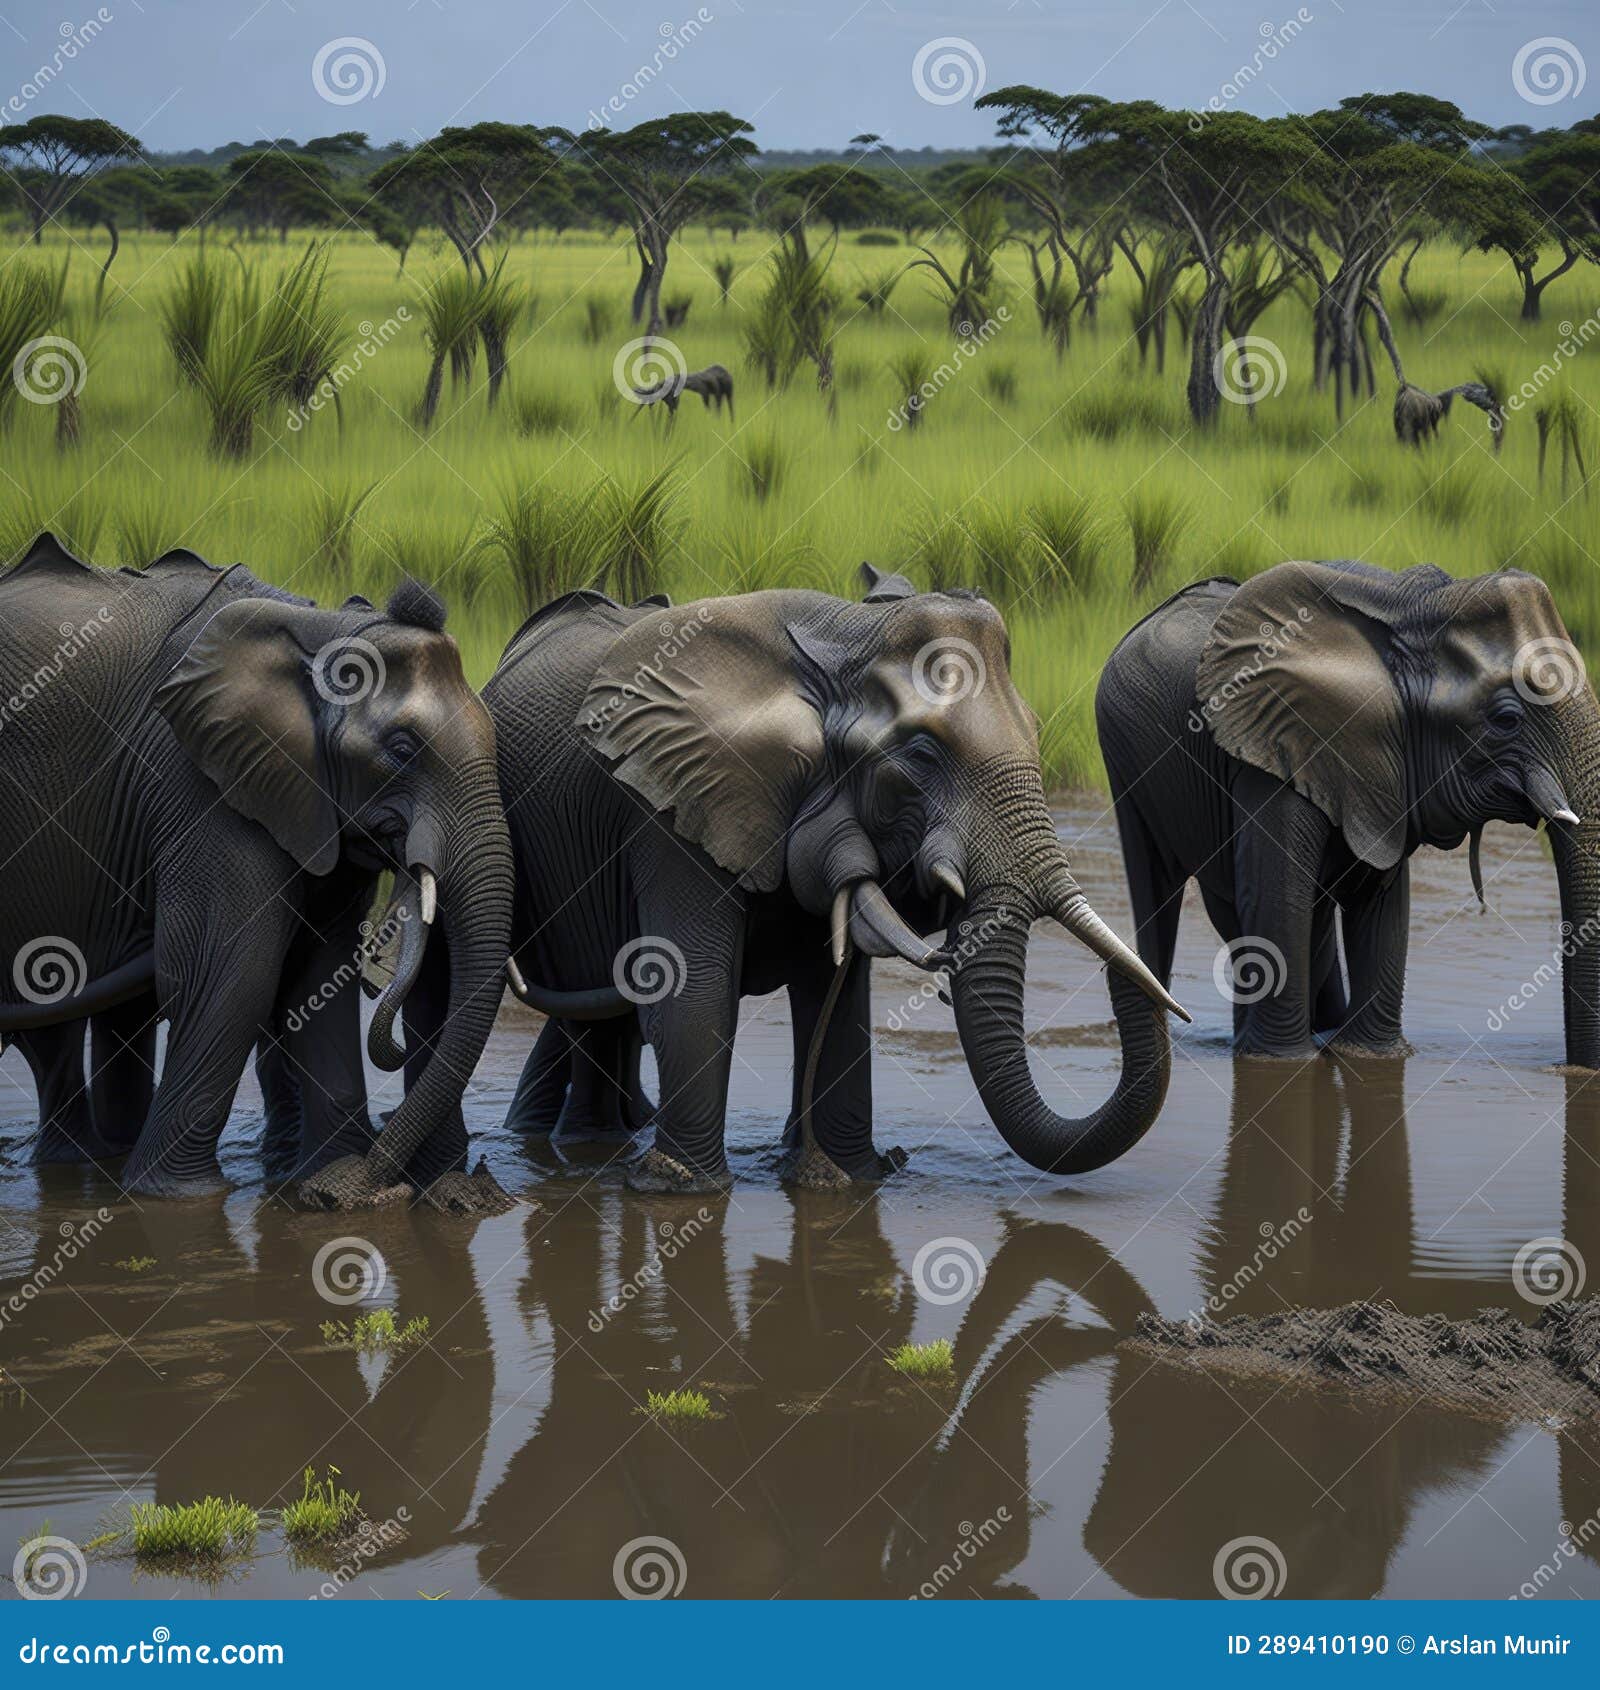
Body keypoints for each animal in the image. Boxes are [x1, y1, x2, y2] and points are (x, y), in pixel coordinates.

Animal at [0, 533, 512, 1207]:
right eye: (402, 751)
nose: (361, 1187)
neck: (322, 629)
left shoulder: (306, 798)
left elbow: (317, 973)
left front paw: (325, 1184)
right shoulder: (199, 781)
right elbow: (229, 971)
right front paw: (178, 1198)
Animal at [483, 564, 1185, 1193]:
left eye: (1038, 735)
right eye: (922, 755)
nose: (1125, 978)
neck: (842, 638)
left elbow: (836, 1000)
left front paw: (843, 1177)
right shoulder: (668, 803)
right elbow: (692, 986)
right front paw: (684, 1192)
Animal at [1096, 559, 1600, 1063]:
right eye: (1505, 720)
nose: (1568, 1067)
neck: (1408, 613)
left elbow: (1381, 904)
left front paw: (1367, 1056)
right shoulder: (1273, 752)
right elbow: (1278, 903)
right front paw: (1284, 1064)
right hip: (1123, 758)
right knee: (1159, 888)